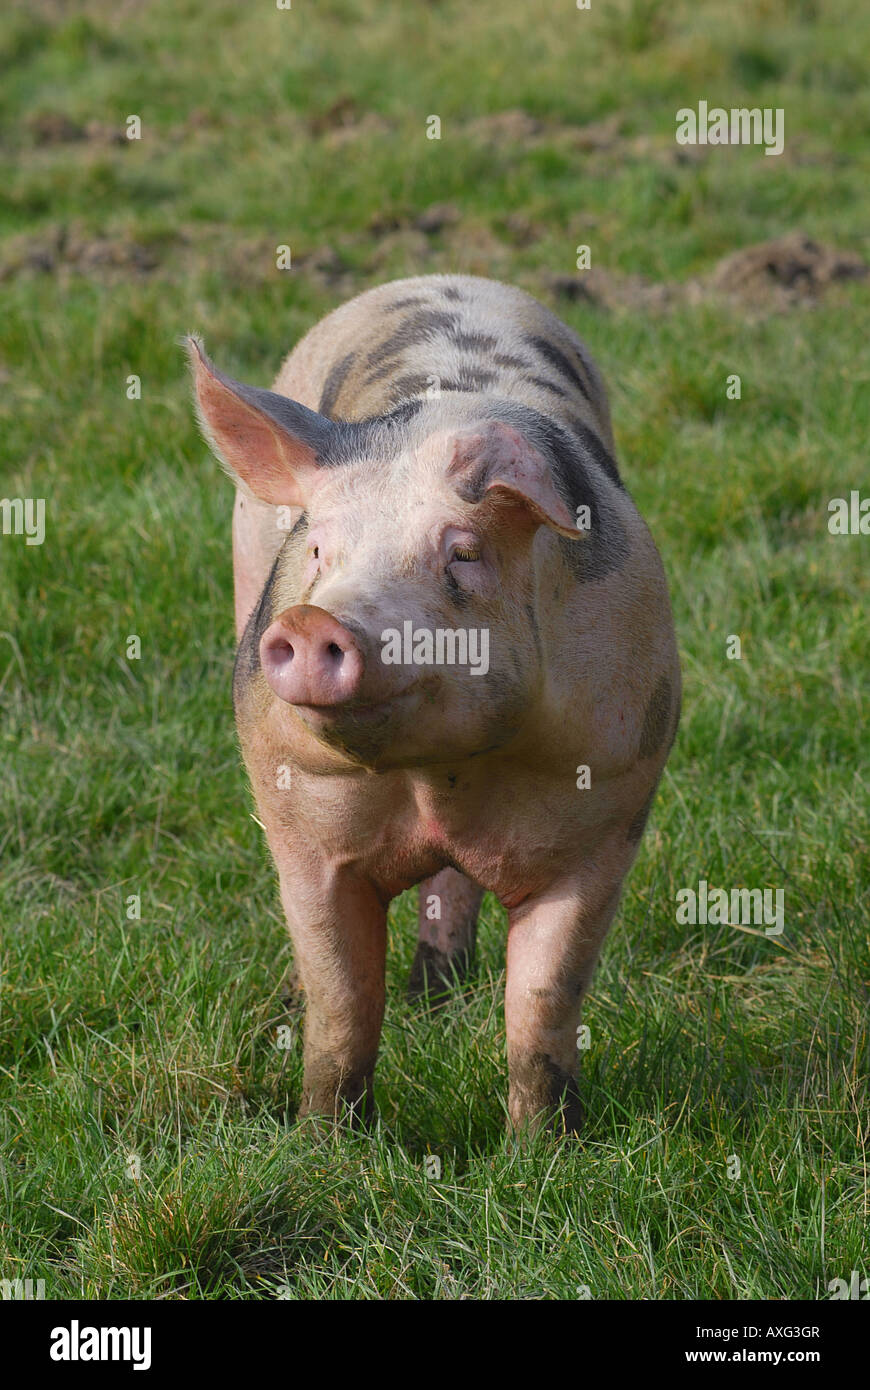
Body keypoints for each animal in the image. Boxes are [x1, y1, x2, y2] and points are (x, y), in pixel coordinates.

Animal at [185, 273, 680, 1134]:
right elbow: (343, 1003)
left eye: (464, 553)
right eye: (319, 550)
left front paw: (544, 1148)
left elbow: (544, 1002)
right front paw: (323, 1138)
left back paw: (437, 993)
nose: (314, 621)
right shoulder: (299, 810)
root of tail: (442, 278)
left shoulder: (609, 806)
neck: (441, 771)